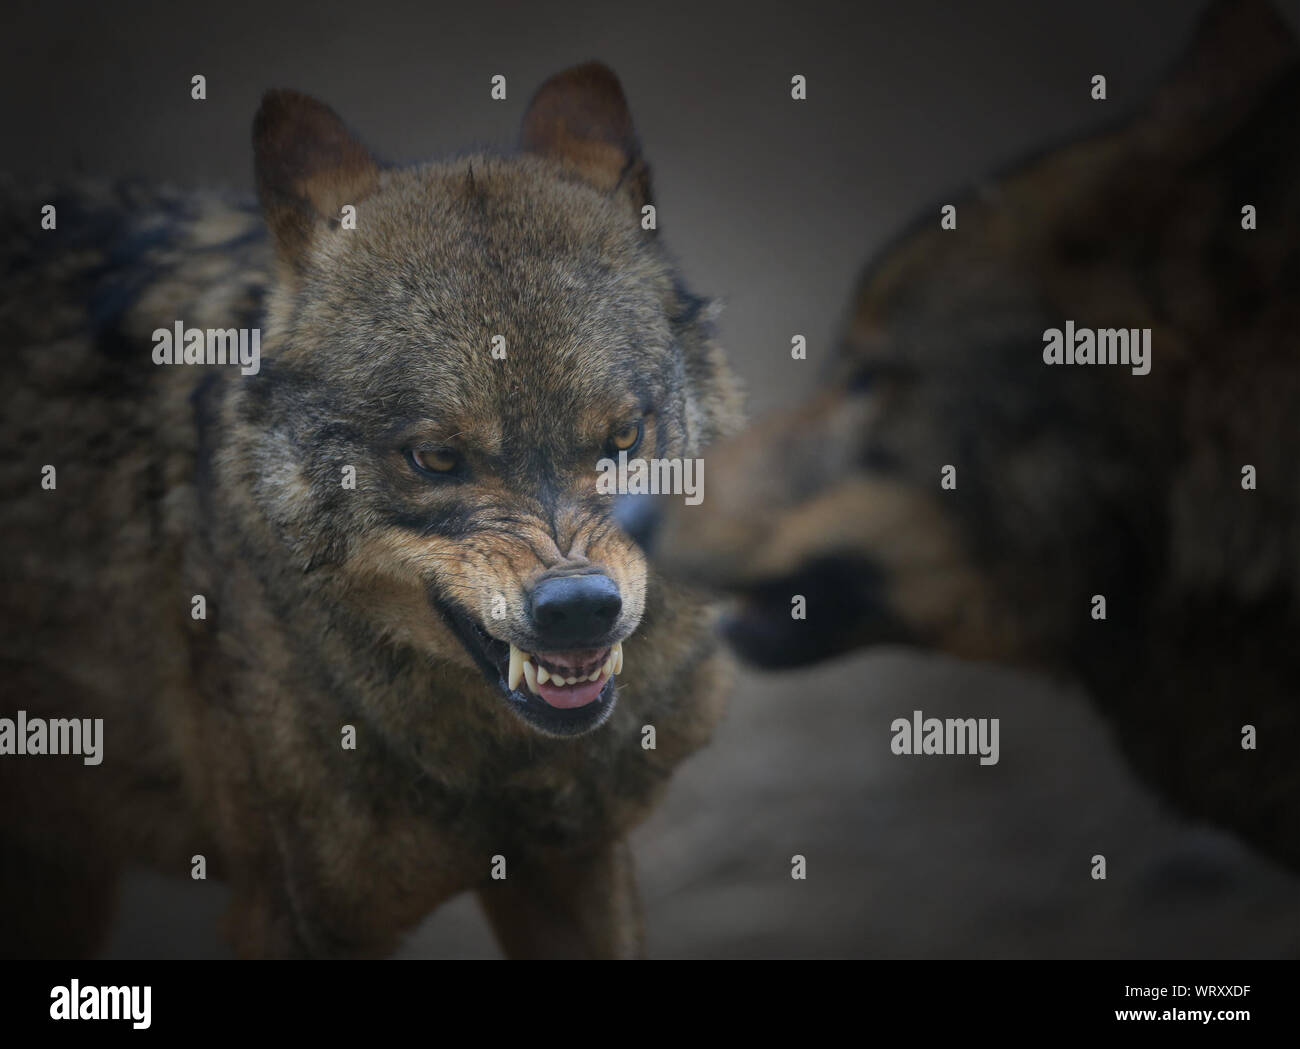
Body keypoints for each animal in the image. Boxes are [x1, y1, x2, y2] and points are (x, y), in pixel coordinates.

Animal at [0, 62, 743, 958]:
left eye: (624, 437)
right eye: (436, 458)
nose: (578, 609)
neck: (501, 767)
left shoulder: (575, 863)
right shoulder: (297, 914)